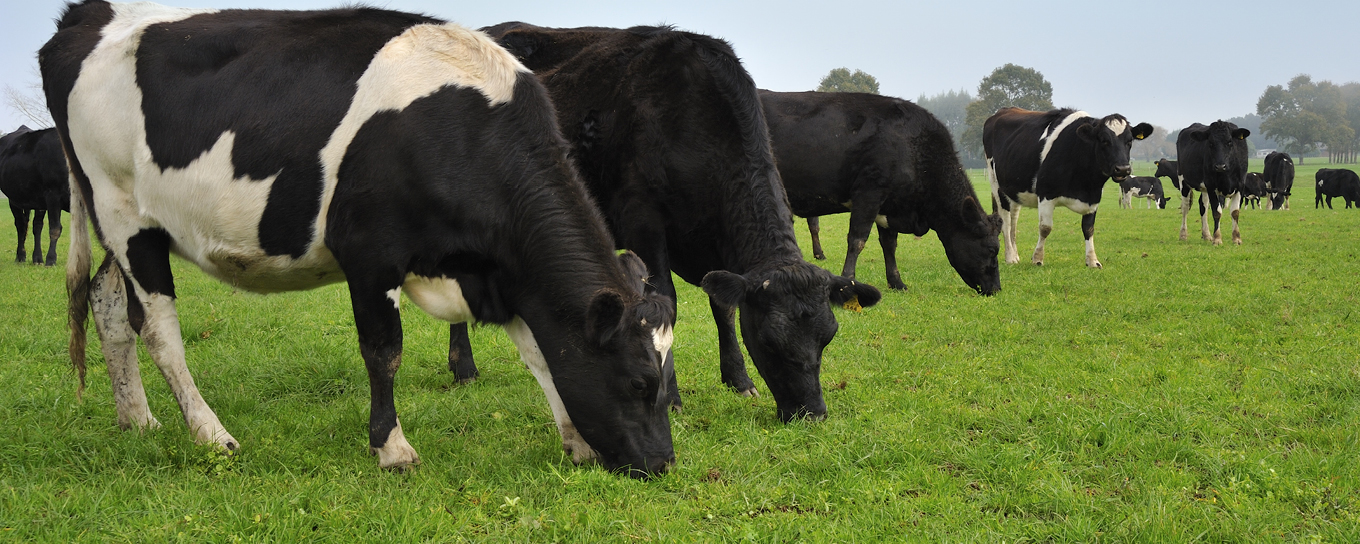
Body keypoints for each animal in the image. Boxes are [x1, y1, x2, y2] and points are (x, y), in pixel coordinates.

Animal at [0, 126, 70, 265]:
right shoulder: (53, 195)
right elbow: (55, 228)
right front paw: (51, 259)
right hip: (14, 199)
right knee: (21, 225)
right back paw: (21, 256)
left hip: (38, 202)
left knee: (37, 226)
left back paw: (37, 258)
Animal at [41, 1, 678, 477]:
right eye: (641, 381)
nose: (663, 464)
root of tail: (86, 14)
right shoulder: (371, 253)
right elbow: (384, 351)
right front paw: (391, 448)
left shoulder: (502, 272)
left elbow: (543, 355)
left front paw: (575, 440)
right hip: (123, 211)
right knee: (157, 328)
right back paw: (209, 433)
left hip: (124, 225)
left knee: (107, 304)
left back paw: (138, 420)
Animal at [449, 23, 882, 423]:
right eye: (770, 340)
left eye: (828, 336)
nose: (813, 413)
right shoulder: (645, 223)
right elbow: (665, 305)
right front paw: (670, 397)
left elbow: (723, 307)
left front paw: (739, 380)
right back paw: (463, 366)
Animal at [759, 90, 1001, 294]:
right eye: (992, 250)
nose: (997, 289)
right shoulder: (870, 193)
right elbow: (857, 240)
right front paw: (849, 281)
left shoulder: (890, 204)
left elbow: (889, 244)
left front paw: (896, 282)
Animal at [984, 107, 1153, 268]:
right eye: (1104, 140)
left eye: (1129, 141)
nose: (1123, 169)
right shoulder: (1046, 193)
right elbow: (1045, 228)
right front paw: (1037, 259)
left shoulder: (1094, 197)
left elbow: (1088, 228)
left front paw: (1092, 261)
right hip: (996, 185)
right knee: (1006, 220)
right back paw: (1010, 257)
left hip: (1014, 191)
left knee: (1014, 218)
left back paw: (1015, 254)